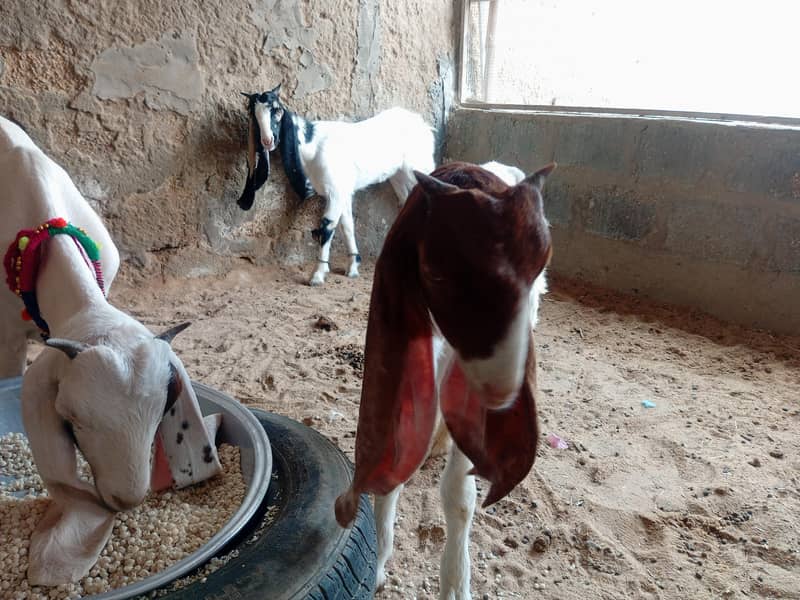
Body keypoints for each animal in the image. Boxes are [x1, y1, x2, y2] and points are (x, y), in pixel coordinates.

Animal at [238, 84, 436, 286]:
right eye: (254, 115)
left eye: (277, 110)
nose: (267, 141)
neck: (313, 146)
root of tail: (423, 125)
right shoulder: (343, 191)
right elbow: (347, 225)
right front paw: (353, 267)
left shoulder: (335, 192)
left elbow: (327, 227)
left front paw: (318, 275)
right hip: (399, 176)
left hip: (419, 169)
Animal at [335, 161, 555, 600]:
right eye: (436, 275)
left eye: (538, 265)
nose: (502, 391)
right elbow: (394, 458)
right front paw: (378, 561)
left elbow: (458, 496)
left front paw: (455, 583)